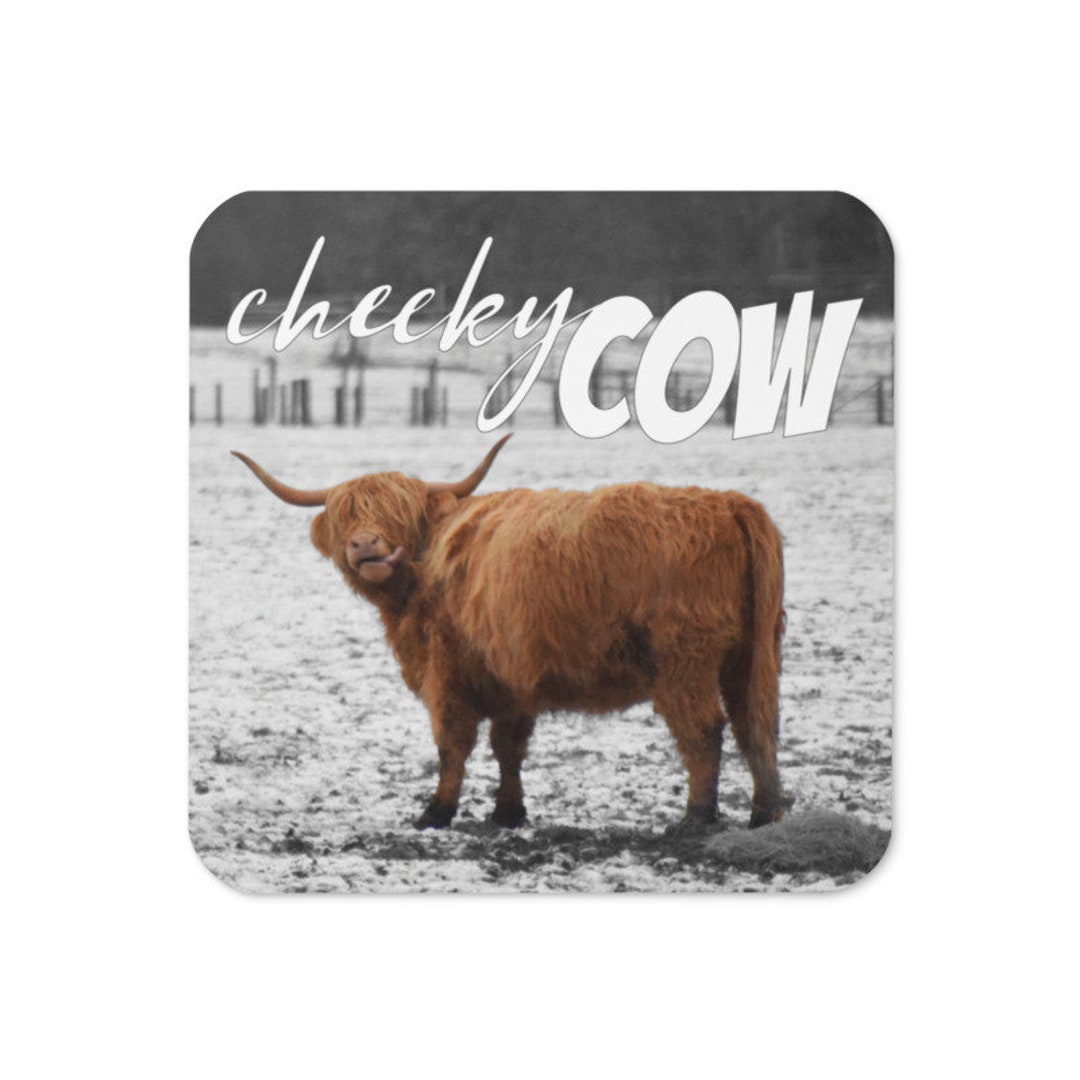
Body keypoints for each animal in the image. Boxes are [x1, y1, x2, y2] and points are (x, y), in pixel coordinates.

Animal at [232, 435, 790, 831]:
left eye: (398, 514)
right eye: (345, 515)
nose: (366, 545)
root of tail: (728, 504)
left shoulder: (447, 673)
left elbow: (453, 744)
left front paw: (436, 812)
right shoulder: (510, 676)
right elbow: (509, 746)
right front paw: (508, 812)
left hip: (684, 659)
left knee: (704, 730)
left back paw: (694, 819)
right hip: (754, 652)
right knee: (756, 724)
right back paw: (764, 815)